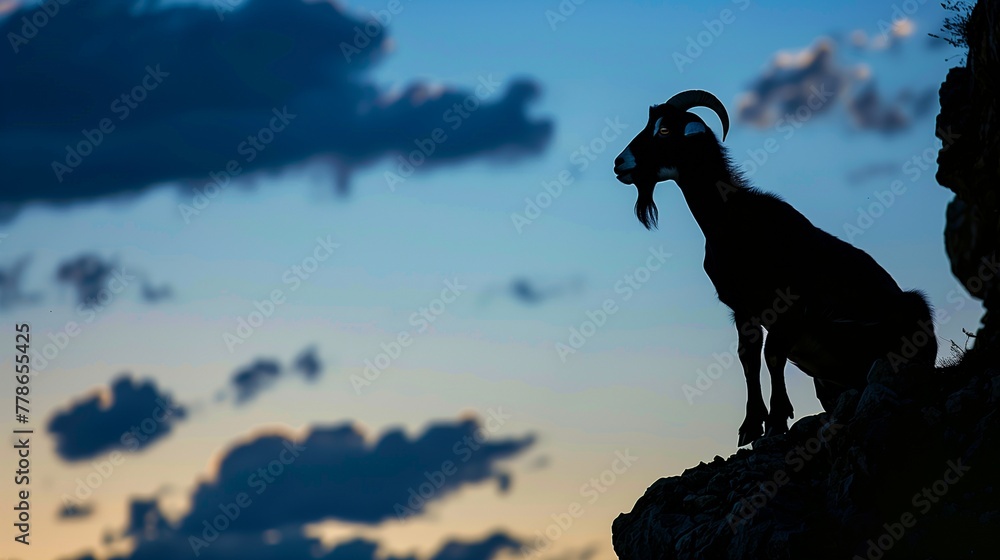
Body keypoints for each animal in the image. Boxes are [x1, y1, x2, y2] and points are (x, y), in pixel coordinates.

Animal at [613, 90, 937, 446]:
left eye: (665, 130)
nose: (619, 163)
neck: (732, 220)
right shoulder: (742, 308)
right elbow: (748, 357)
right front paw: (751, 426)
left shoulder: (789, 305)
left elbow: (772, 355)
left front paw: (777, 419)